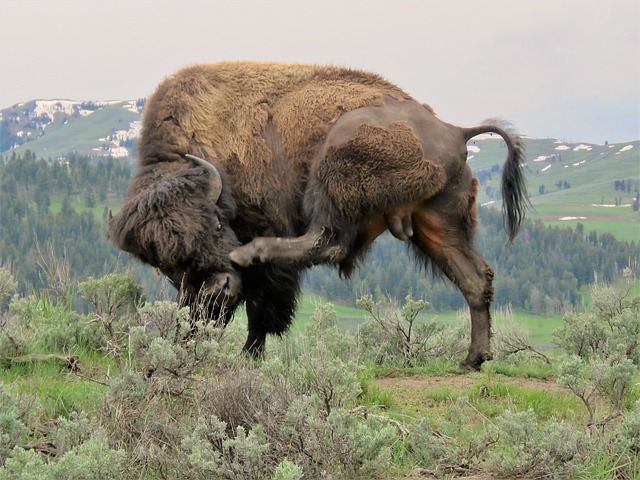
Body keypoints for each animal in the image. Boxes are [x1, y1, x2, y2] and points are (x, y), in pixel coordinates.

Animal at [109, 62, 524, 372]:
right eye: (169, 266)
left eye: (214, 224)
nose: (219, 288)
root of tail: (455, 131)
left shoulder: (269, 231)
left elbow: (263, 308)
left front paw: (249, 356)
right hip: (437, 222)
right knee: (474, 278)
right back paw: (473, 359)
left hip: (335, 165)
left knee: (327, 242)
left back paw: (250, 251)